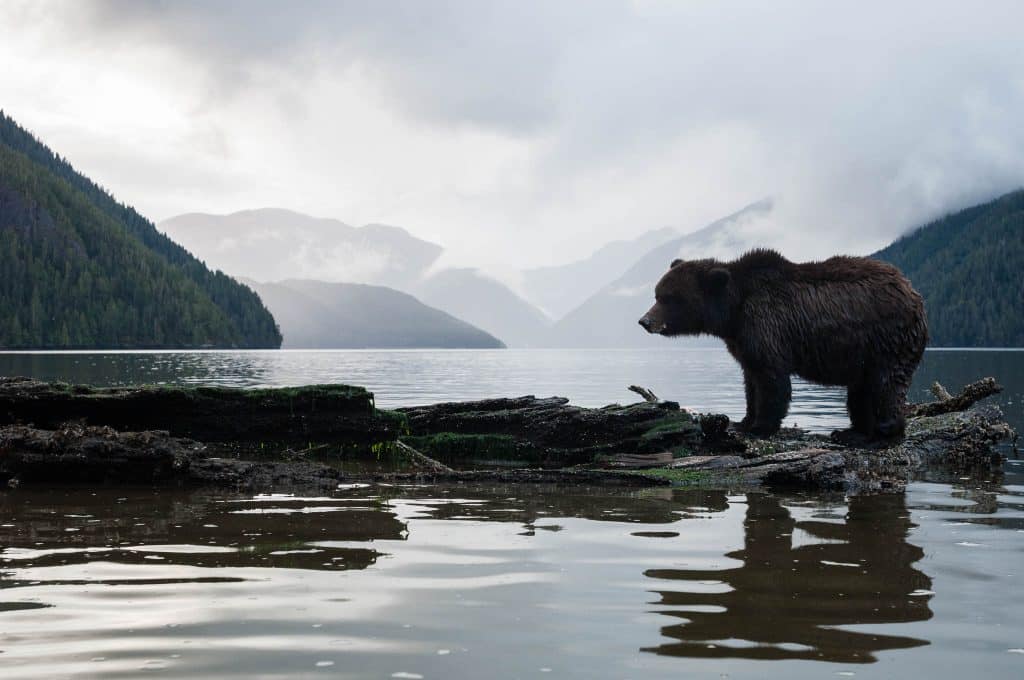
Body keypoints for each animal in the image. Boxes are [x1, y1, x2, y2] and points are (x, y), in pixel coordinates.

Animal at [638, 248, 927, 443]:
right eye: (657, 294)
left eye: (670, 298)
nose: (645, 321)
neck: (732, 312)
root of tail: (913, 293)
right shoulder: (742, 339)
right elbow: (751, 379)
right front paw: (743, 421)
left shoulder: (766, 324)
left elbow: (771, 379)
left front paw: (761, 427)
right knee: (861, 391)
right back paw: (851, 431)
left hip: (886, 340)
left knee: (885, 385)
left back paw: (877, 434)